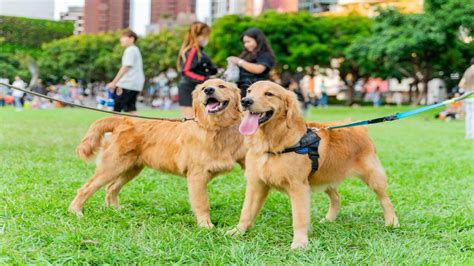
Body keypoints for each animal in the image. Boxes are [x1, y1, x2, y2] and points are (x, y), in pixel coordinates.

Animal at [71, 79, 248, 229]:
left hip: (130, 169)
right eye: (203, 87)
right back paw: (76, 211)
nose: (209, 90)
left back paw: (115, 209)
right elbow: (202, 203)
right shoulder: (197, 176)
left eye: (222, 86)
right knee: (86, 188)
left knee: (111, 188)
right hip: (111, 167)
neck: (215, 129)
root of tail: (123, 121)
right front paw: (206, 225)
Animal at [228, 80, 398, 249]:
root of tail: (360, 127)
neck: (271, 144)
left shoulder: (298, 186)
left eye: (269, 93)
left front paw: (299, 242)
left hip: (373, 177)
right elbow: (246, 211)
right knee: (337, 198)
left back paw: (392, 222)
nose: (245, 101)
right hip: (324, 177)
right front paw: (238, 230)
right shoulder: (256, 183)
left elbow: (299, 217)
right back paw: (329, 219)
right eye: (249, 91)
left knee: (386, 200)